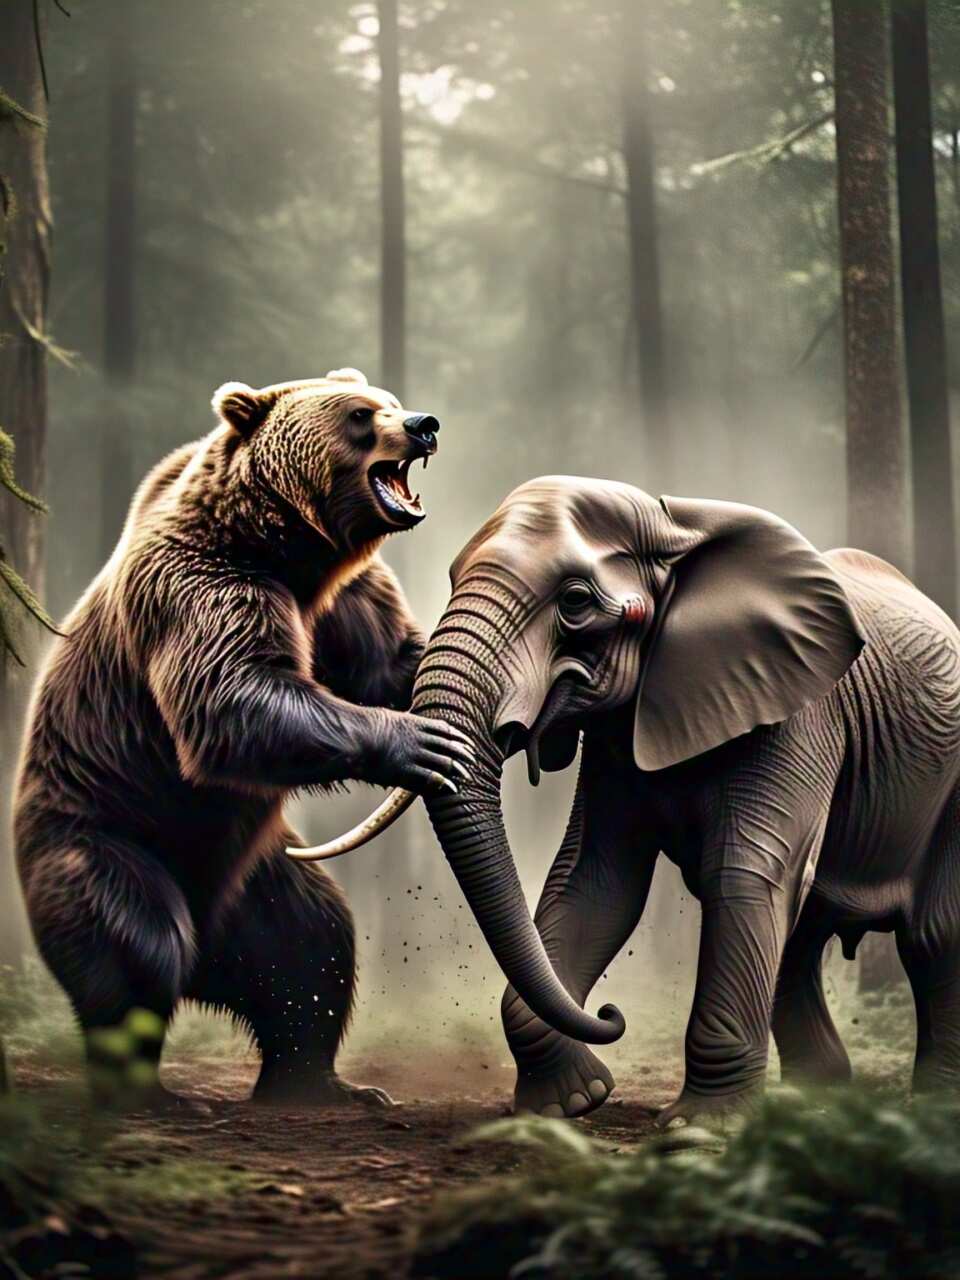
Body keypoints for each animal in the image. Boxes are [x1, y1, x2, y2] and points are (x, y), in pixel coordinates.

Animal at [14, 368, 473, 1108]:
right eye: (361, 414)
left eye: (393, 401)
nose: (423, 424)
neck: (286, 552)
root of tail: (207, 948)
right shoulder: (202, 585)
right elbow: (235, 697)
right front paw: (421, 742)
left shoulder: (346, 599)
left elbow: (388, 662)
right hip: (102, 834)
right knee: (137, 945)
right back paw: (150, 1086)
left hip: (256, 879)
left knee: (310, 946)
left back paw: (325, 1085)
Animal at [291, 475, 960, 1124]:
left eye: (575, 602)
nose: (613, 1015)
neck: (674, 527)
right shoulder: (617, 734)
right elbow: (596, 882)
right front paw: (571, 1104)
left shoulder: (798, 712)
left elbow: (742, 875)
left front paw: (698, 1130)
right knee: (799, 938)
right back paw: (816, 1102)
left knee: (931, 936)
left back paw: (929, 1109)